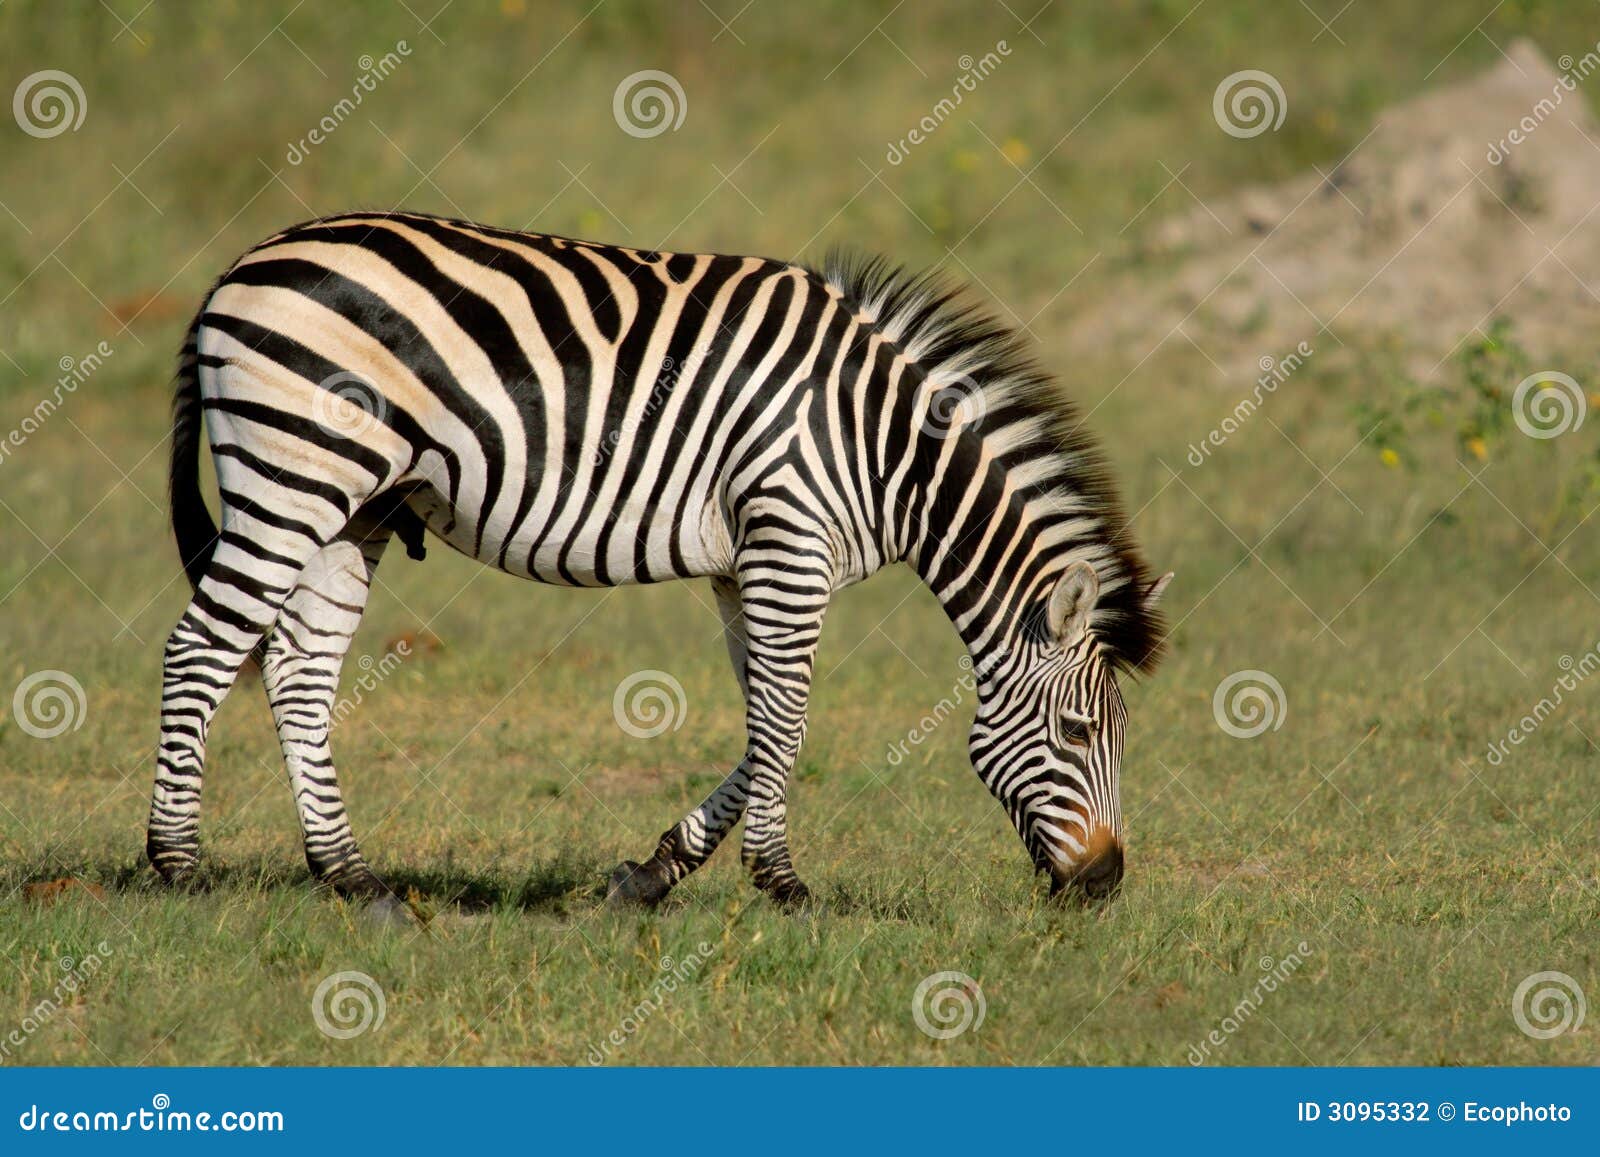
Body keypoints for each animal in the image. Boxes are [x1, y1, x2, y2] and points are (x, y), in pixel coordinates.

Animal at [148, 211, 1170, 911]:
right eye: (1078, 732)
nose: (1104, 883)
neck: (883, 448)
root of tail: (235, 269)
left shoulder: (745, 564)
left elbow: (761, 723)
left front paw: (651, 874)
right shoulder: (790, 542)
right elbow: (786, 723)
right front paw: (783, 883)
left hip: (349, 506)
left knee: (299, 671)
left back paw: (352, 877)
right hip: (294, 472)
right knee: (202, 648)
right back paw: (175, 866)